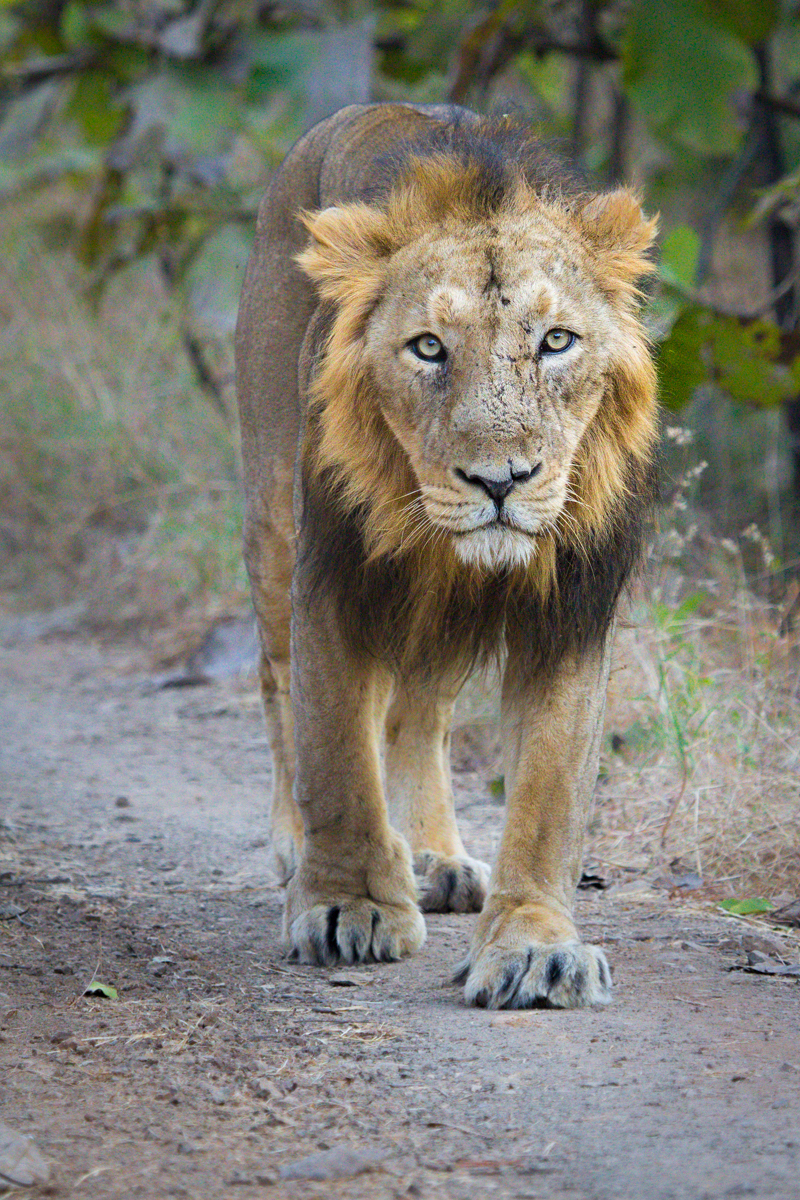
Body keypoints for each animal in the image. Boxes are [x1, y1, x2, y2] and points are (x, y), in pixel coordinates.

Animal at [235, 103, 658, 1009]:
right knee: (277, 679)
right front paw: (346, 905)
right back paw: (297, 844)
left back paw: (433, 858)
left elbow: (547, 797)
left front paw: (535, 948)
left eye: (557, 341)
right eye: (428, 347)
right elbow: (337, 755)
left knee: (419, 712)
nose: (501, 479)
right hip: (271, 522)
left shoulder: (569, 614)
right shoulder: (335, 579)